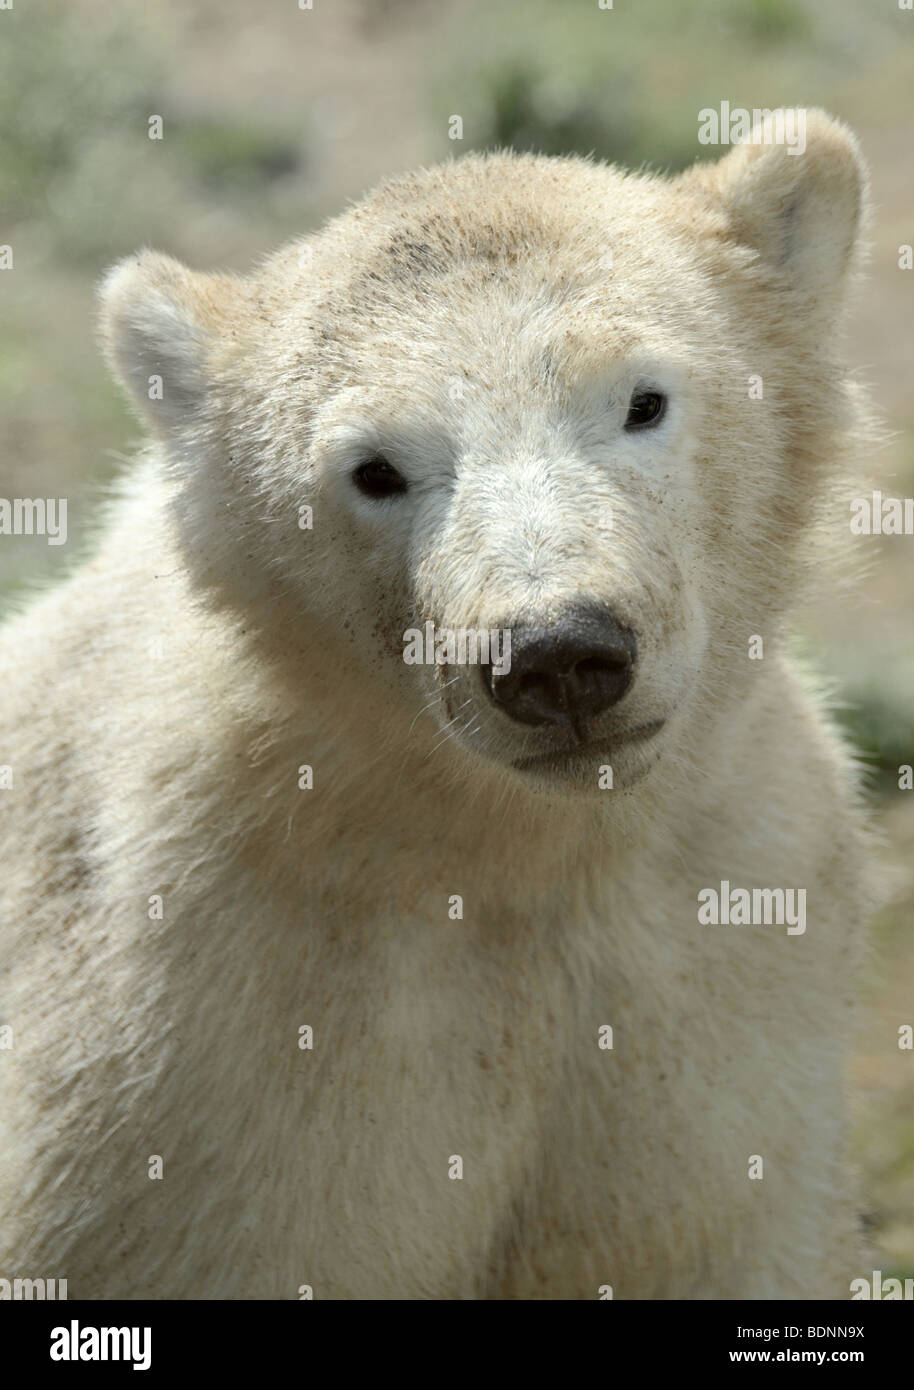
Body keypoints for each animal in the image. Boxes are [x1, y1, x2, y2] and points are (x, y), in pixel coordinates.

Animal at [0, 109, 874, 1299]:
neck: (495, 848)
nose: (558, 655)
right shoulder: (198, 1041)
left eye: (642, 400)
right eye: (373, 470)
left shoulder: (723, 952)